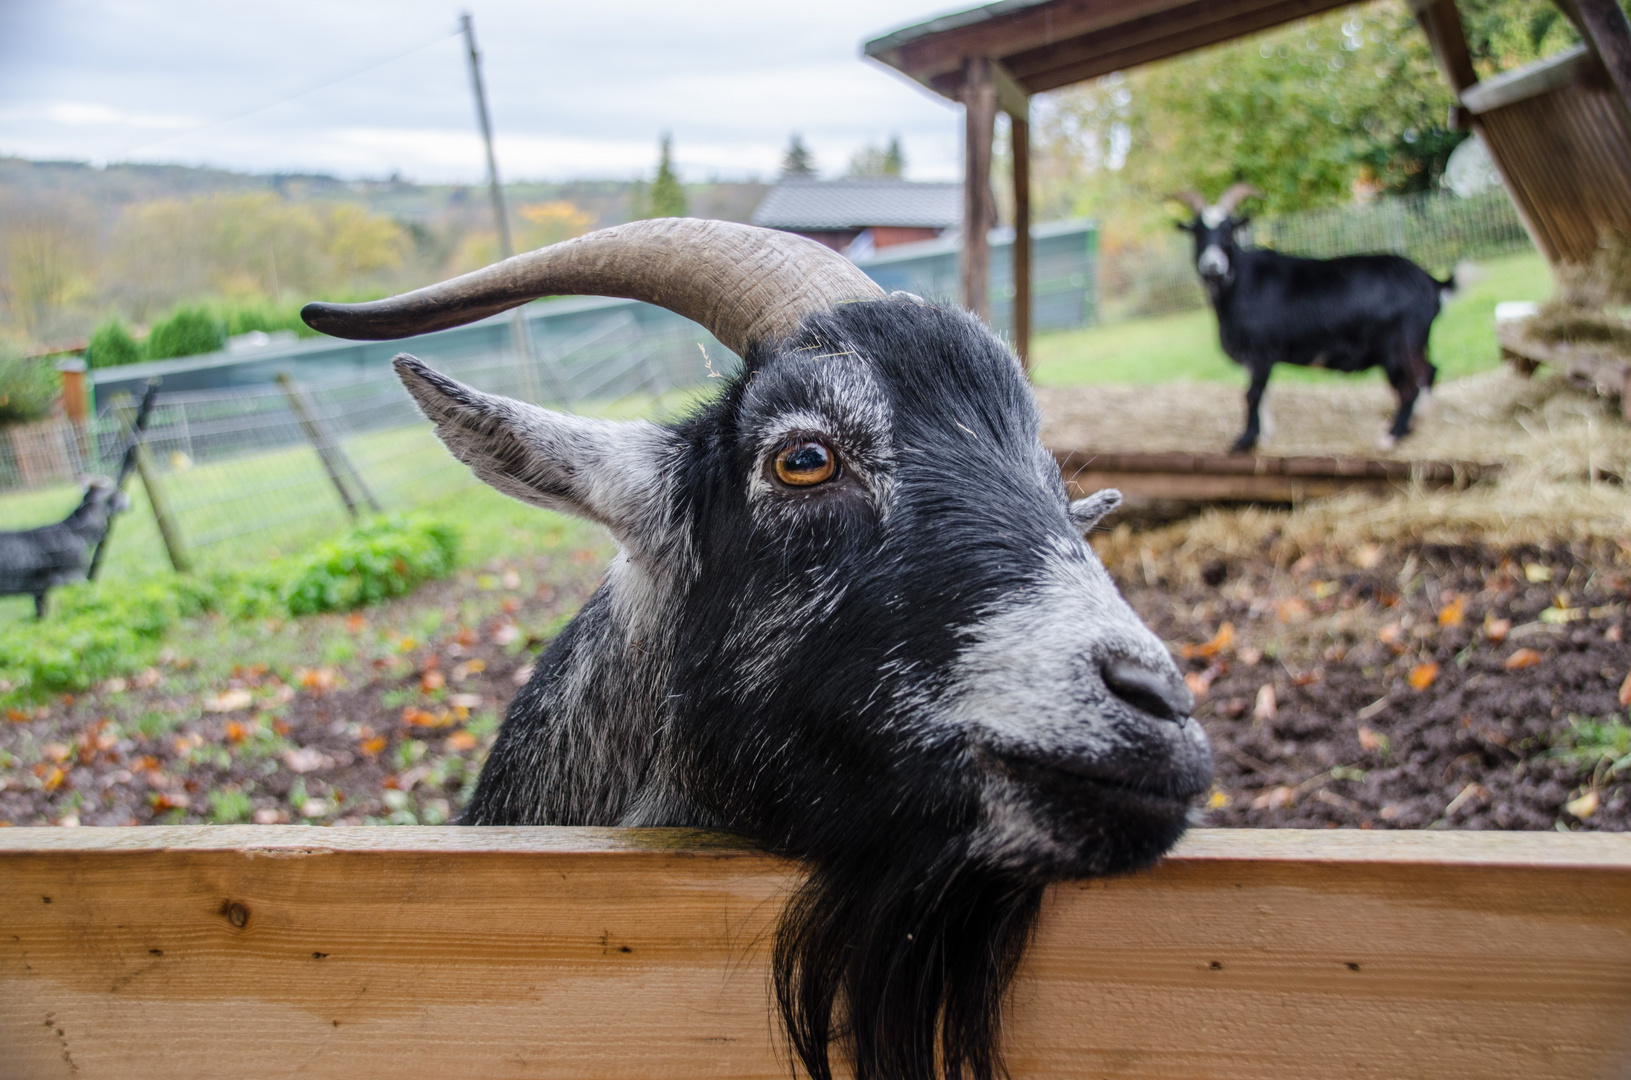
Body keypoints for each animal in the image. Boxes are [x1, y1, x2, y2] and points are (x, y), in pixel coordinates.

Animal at [0, 477, 129, 618]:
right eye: (117, 492)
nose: (130, 503)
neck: (76, 532)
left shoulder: (39, 588)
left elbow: (41, 614)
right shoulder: (75, 576)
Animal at [1174, 185, 1458, 453]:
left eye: (1229, 232)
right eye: (1196, 233)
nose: (1212, 266)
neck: (1241, 283)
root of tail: (1431, 283)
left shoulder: (1264, 350)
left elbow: (1252, 395)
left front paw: (1244, 442)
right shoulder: (1252, 358)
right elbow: (1262, 395)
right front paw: (1263, 438)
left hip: (1399, 343)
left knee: (1412, 384)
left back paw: (1391, 437)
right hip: (1415, 342)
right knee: (1428, 372)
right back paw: (1415, 421)